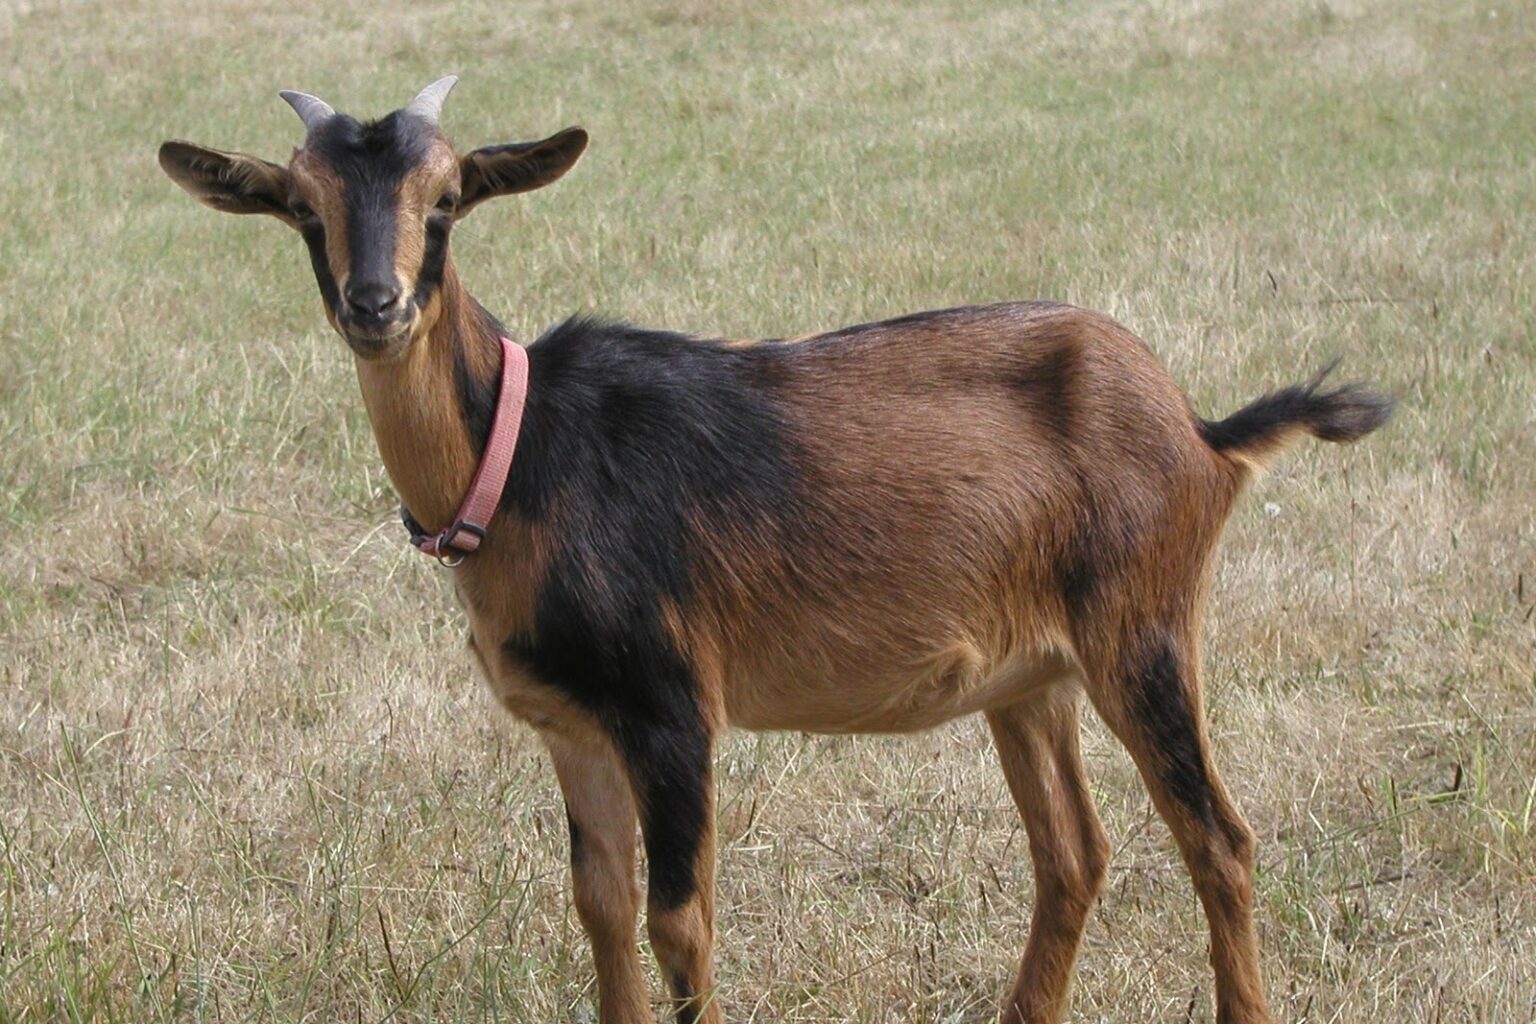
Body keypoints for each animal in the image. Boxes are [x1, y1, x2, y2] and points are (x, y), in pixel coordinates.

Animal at [158, 78, 1392, 1024]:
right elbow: (600, 907)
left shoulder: (669, 707)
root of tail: (1200, 429)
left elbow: (679, 919)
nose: (376, 304)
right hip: (1032, 674)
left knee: (1219, 839)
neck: (525, 455)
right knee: (1074, 853)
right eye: (302, 205)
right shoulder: (573, 725)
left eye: (450, 197)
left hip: (1143, 631)